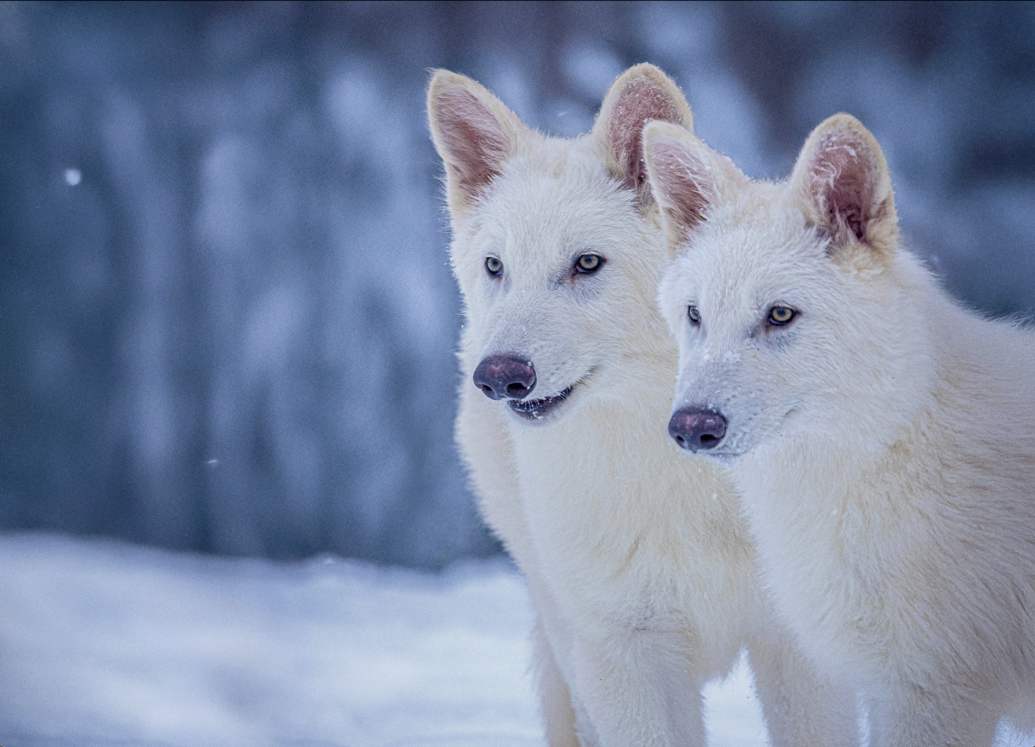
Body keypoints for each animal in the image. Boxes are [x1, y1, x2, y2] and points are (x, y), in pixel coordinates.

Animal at [427, 64, 857, 747]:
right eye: (496, 266)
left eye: (586, 263)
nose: (499, 377)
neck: (684, 482)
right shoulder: (622, 655)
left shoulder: (798, 648)